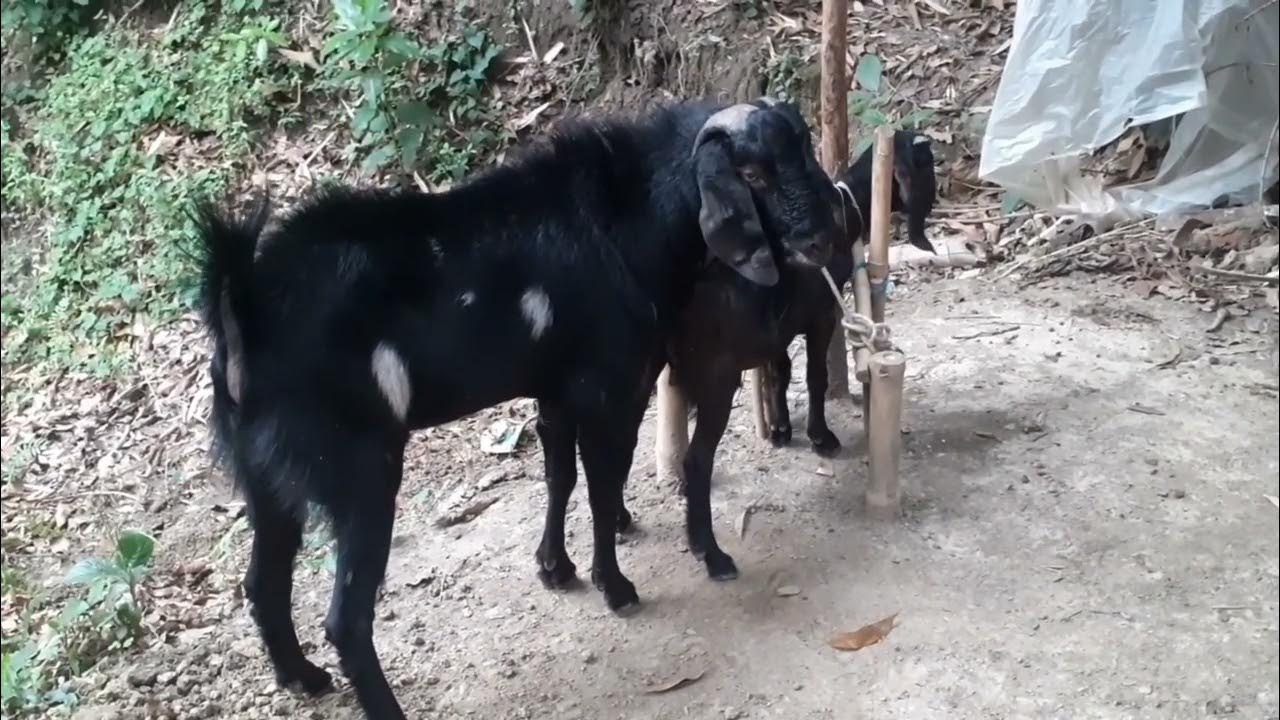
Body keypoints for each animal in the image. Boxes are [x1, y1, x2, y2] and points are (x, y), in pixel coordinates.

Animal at [196, 98, 839, 720]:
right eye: (752, 173)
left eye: (803, 149)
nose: (825, 234)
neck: (626, 218)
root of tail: (243, 305)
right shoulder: (609, 389)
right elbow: (602, 486)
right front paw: (615, 586)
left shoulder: (556, 392)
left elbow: (559, 476)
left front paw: (555, 568)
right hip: (360, 474)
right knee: (345, 620)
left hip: (264, 477)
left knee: (262, 582)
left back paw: (302, 677)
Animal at [630, 130, 936, 579]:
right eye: (928, 163)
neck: (847, 211)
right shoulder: (822, 312)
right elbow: (813, 375)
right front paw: (820, 436)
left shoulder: (778, 325)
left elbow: (780, 370)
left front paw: (779, 430)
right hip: (716, 377)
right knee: (696, 460)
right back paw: (711, 553)